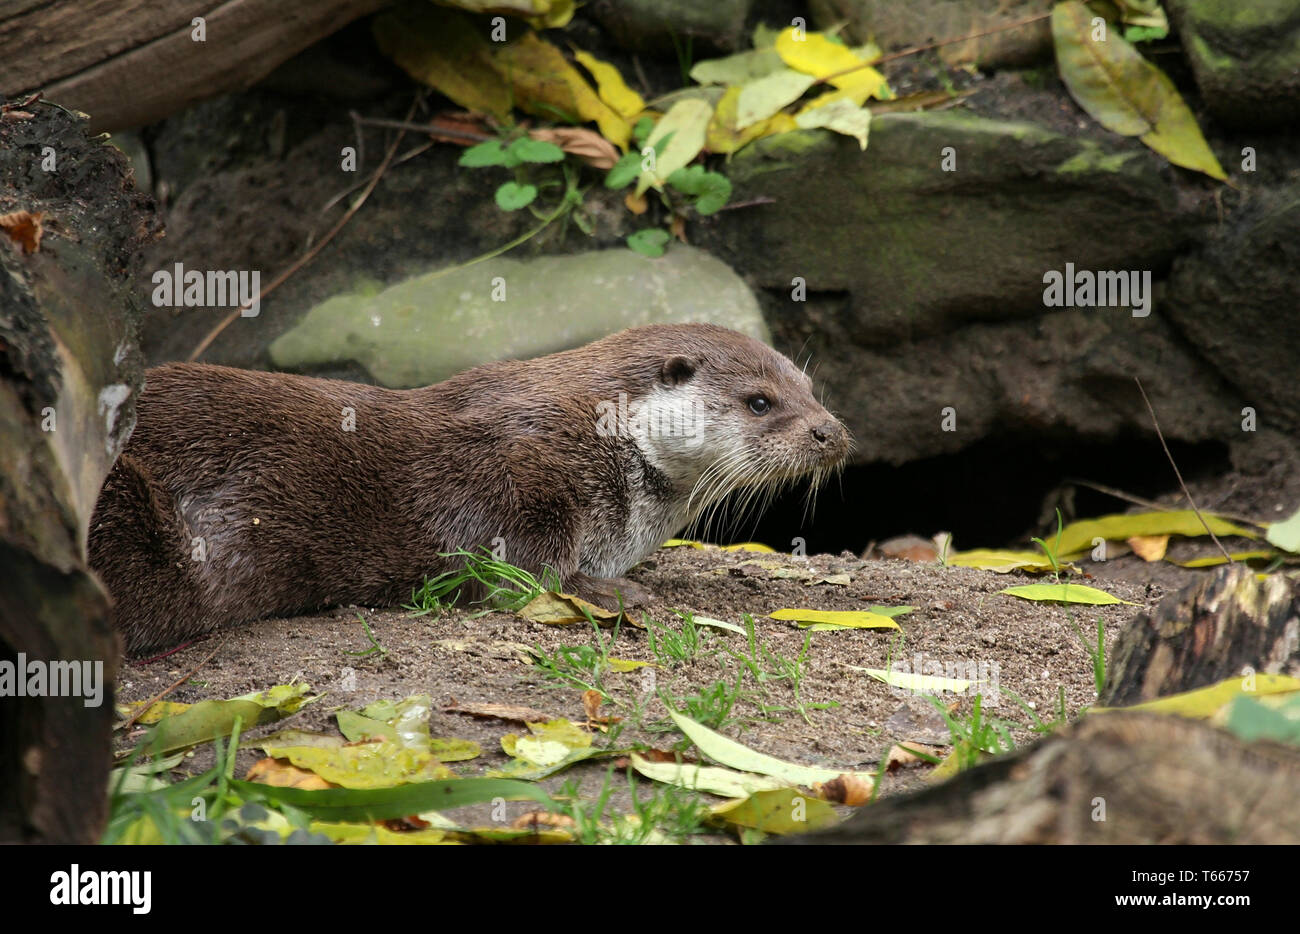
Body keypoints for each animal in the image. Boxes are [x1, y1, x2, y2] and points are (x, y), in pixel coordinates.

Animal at [89, 324, 849, 655]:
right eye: (759, 401)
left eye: (810, 387)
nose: (832, 432)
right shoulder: (512, 466)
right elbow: (506, 566)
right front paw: (613, 593)